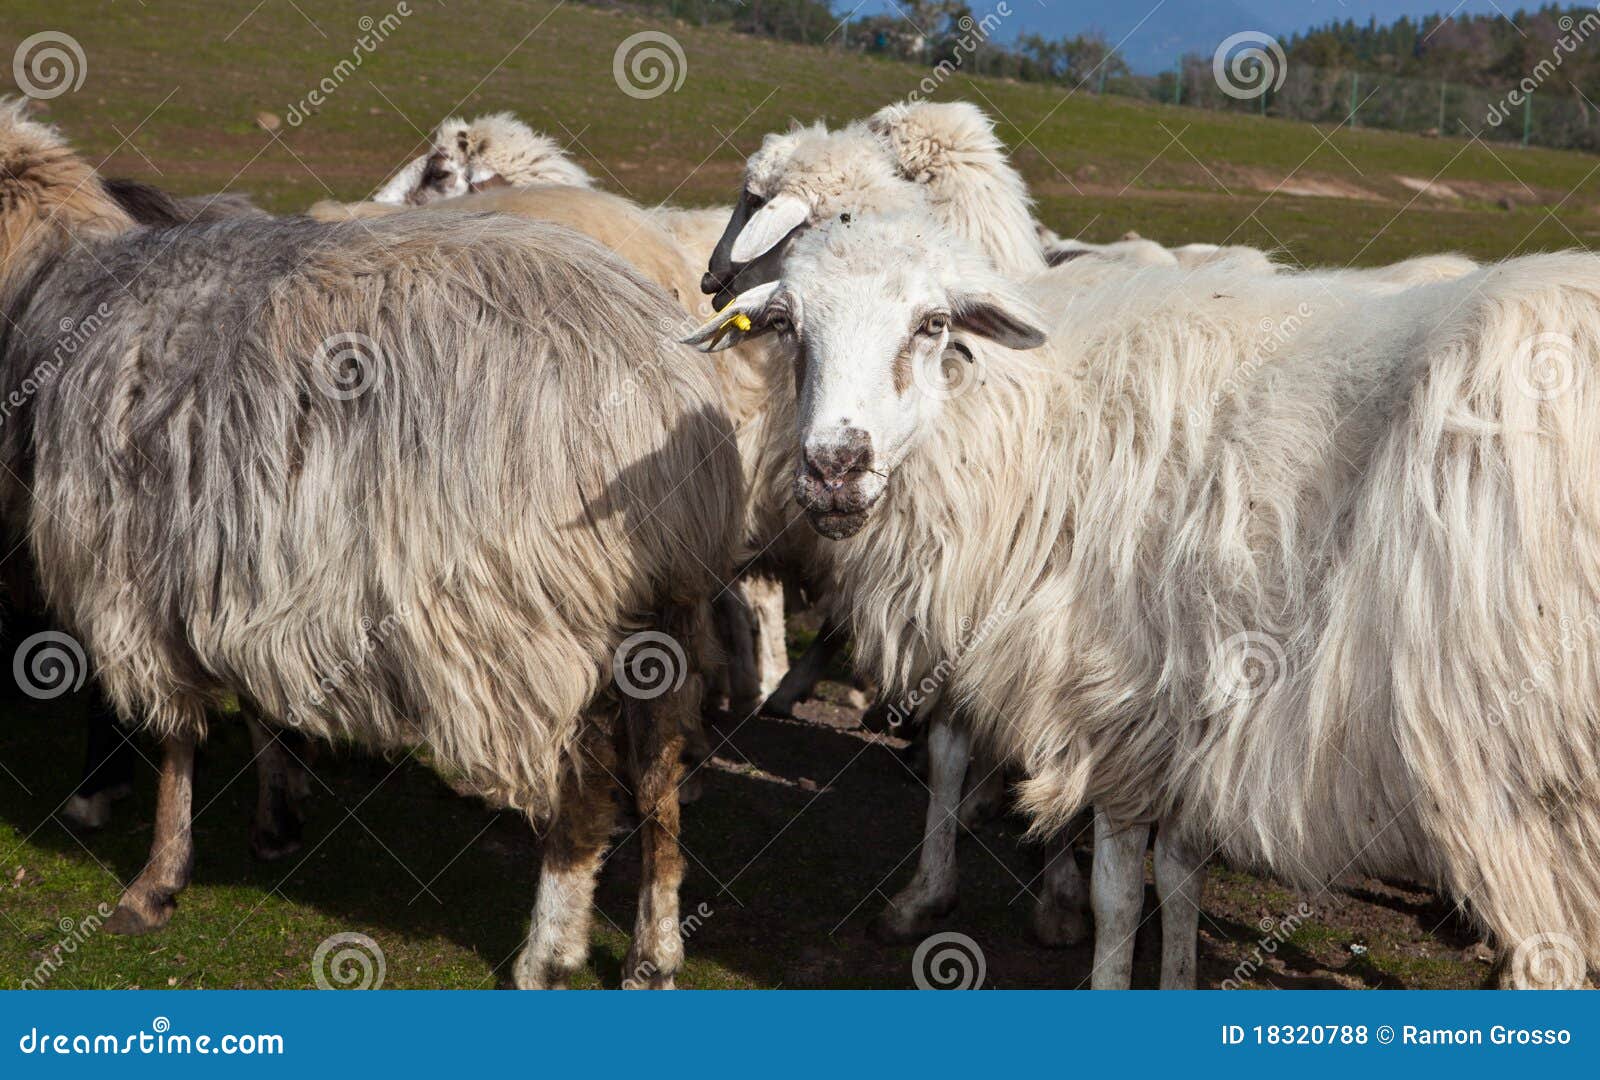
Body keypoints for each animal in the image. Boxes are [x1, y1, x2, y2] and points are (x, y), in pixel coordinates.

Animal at [0, 104, 740, 988]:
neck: (55, 286)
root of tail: (659, 381)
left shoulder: (130, 578)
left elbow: (176, 738)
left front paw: (154, 880)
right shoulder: (245, 563)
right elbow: (257, 703)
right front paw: (276, 816)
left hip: (525, 621)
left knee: (584, 792)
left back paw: (547, 953)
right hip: (666, 600)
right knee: (658, 776)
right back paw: (653, 953)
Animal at [689, 208, 1600, 989]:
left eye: (932, 324)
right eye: (787, 325)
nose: (834, 467)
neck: (1031, 432)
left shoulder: (1113, 704)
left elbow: (1122, 894)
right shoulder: (1182, 709)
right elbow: (1179, 878)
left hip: (1516, 773)